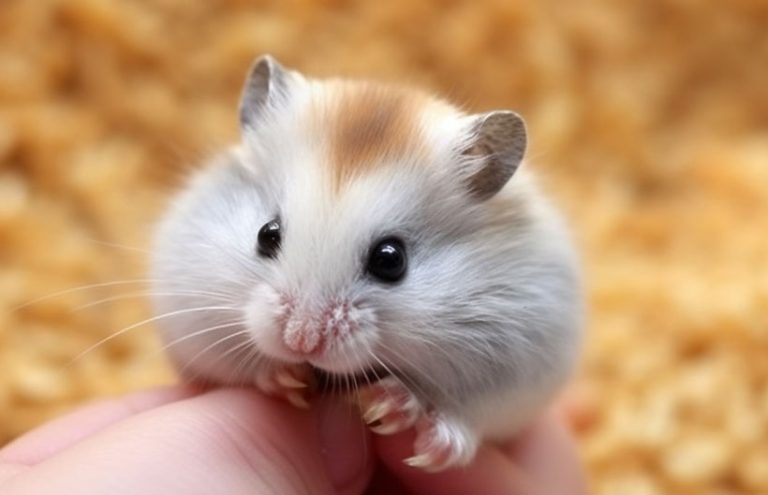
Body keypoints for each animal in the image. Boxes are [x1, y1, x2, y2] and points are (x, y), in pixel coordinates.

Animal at [150, 55, 583, 472]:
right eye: (266, 234)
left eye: (391, 259)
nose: (301, 342)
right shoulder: (192, 321)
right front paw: (289, 382)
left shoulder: (518, 367)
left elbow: (467, 416)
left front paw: (402, 420)